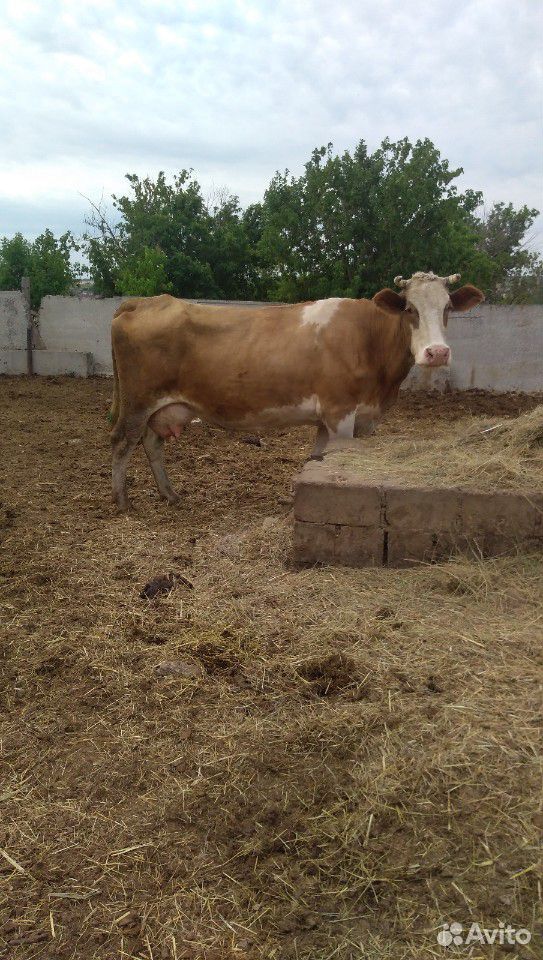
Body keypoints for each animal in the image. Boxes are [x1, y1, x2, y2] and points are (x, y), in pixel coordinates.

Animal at [109, 271, 484, 510]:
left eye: (448, 308)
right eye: (409, 309)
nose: (437, 352)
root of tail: (147, 301)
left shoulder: (352, 417)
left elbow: (319, 459)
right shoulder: (339, 411)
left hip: (164, 407)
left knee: (151, 444)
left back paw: (169, 495)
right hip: (137, 402)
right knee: (122, 443)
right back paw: (122, 501)